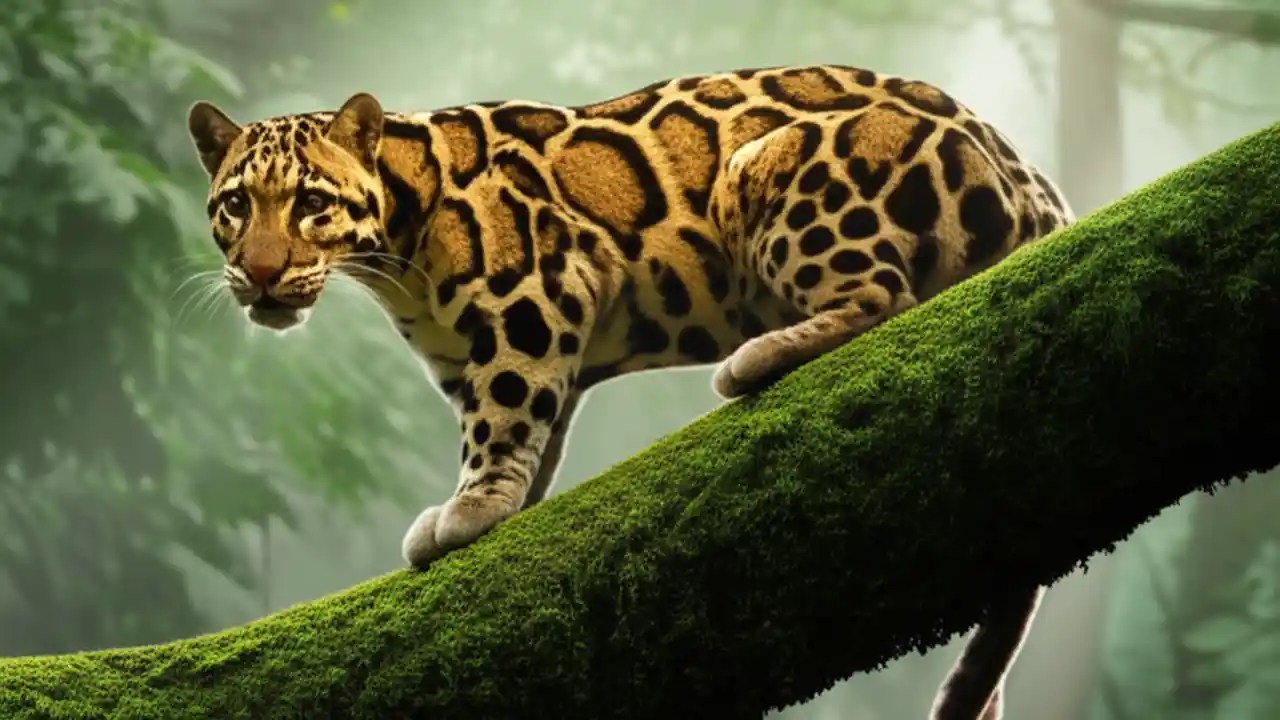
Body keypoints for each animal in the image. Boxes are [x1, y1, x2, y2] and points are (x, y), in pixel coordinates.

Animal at [186, 64, 1074, 720]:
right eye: (235, 205)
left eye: (311, 202)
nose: (259, 274)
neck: (395, 238)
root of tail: (1035, 183)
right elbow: (533, 434)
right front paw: (507, 504)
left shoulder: (531, 301)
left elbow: (502, 417)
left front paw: (474, 507)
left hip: (774, 172)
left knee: (883, 297)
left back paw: (757, 359)